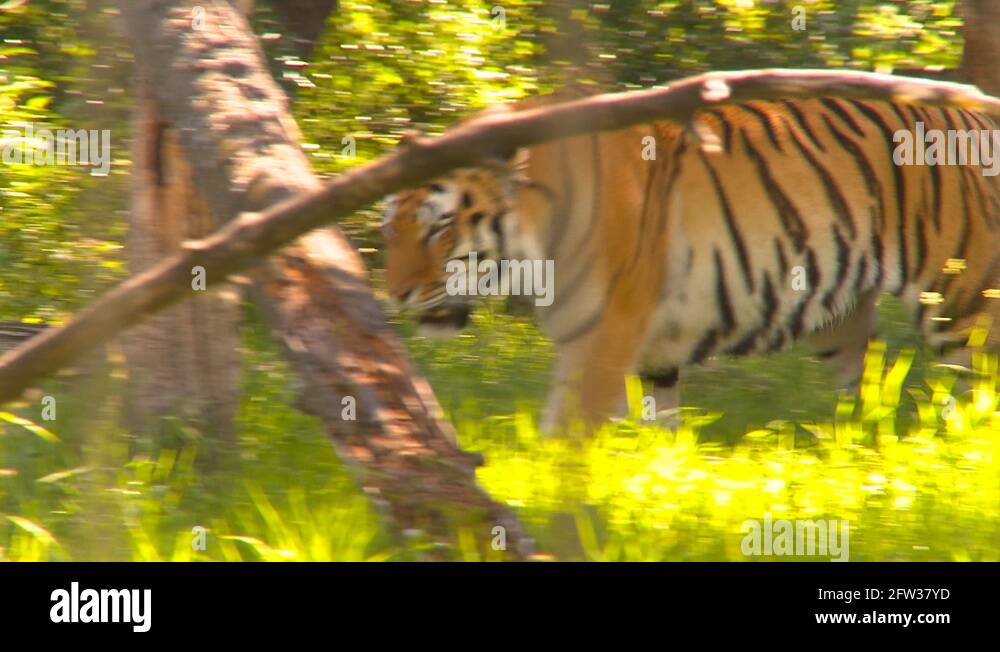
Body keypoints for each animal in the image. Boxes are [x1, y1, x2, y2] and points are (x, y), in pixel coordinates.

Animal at [381, 85, 1000, 433]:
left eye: (440, 225)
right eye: (391, 227)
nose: (396, 294)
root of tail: (977, 119)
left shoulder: (605, 335)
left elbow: (565, 434)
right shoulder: (653, 351)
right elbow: (659, 434)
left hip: (965, 300)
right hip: (842, 318)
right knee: (869, 392)